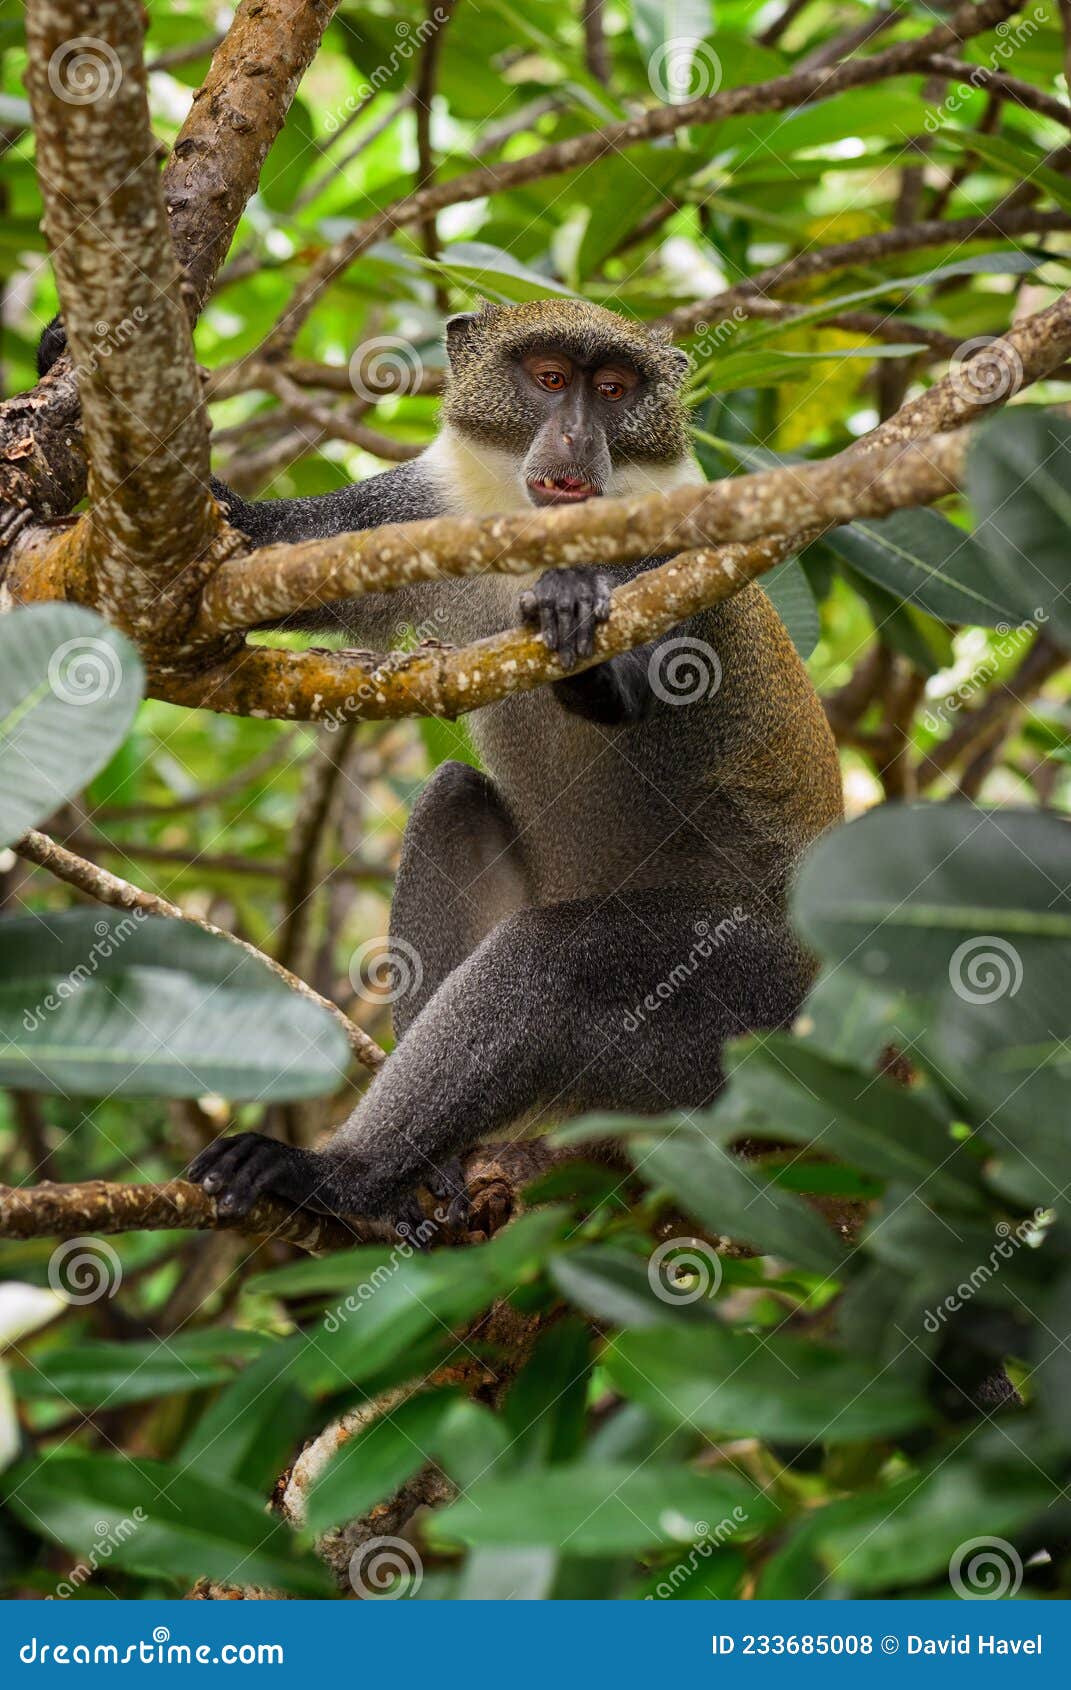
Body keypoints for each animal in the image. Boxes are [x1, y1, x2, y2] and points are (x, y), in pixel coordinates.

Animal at [39, 300, 844, 1231]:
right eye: (549, 379)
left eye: (613, 390)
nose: (576, 438)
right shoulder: (415, 509)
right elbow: (250, 550)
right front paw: (66, 371)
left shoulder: (673, 560)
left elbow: (651, 674)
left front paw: (576, 615)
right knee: (453, 800)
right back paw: (434, 1171)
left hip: (745, 1009)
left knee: (552, 963)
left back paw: (337, 1174)